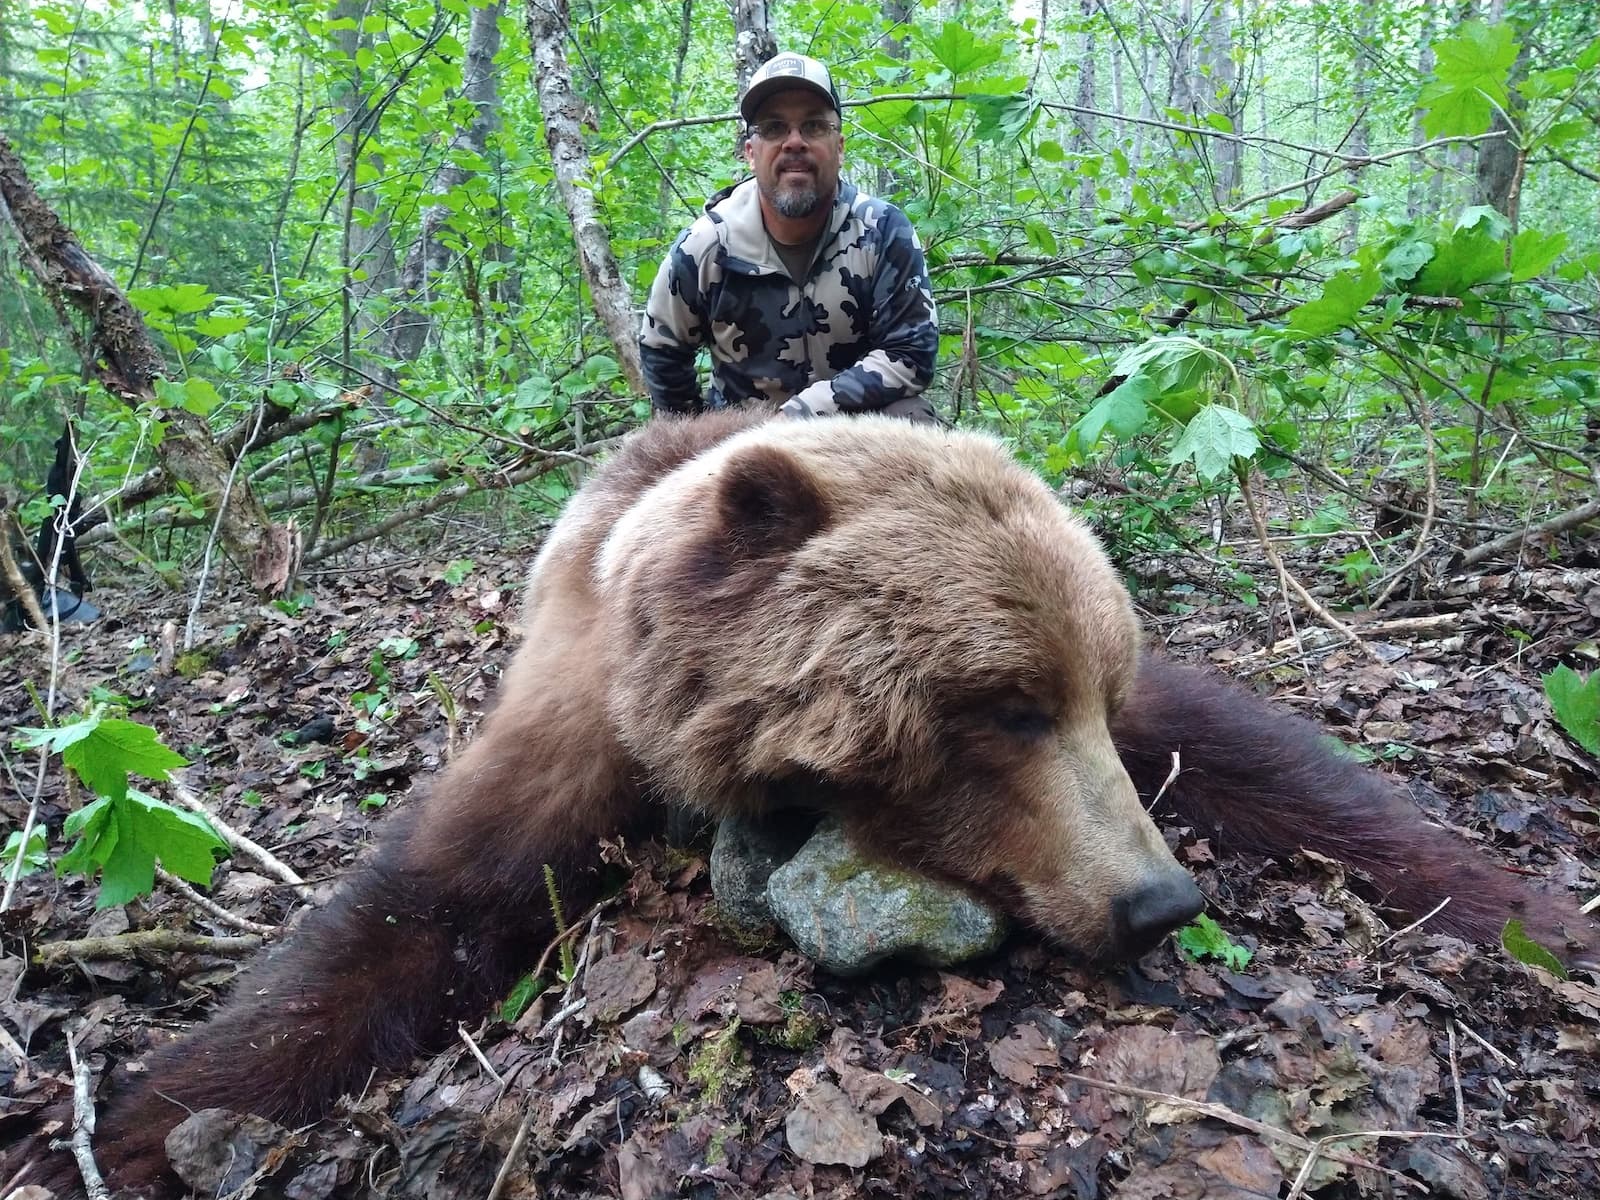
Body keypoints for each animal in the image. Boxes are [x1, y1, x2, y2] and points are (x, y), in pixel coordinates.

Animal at [9, 410, 1593, 1197]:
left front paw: (1533, 910)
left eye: (1090, 684)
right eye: (1003, 704)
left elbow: (1279, 763)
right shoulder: (579, 712)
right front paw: (101, 1129)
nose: (1158, 900)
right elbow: (416, 913)